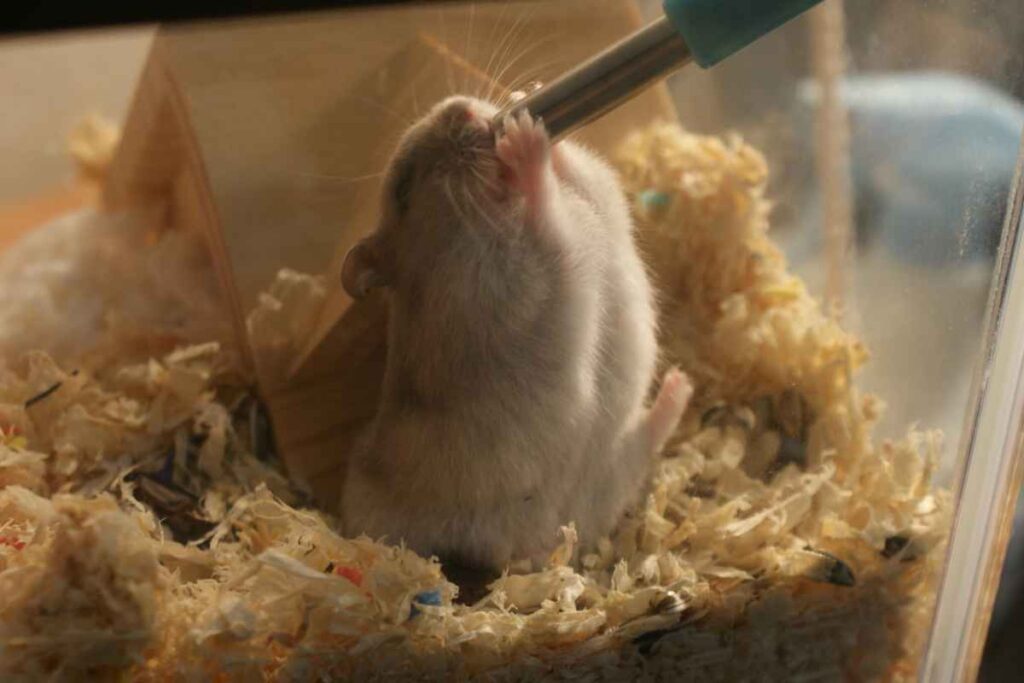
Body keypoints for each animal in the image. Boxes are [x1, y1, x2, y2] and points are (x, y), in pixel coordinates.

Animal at [339, 95, 692, 572]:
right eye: (403, 186)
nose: (460, 107)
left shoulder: (599, 196)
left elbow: (585, 176)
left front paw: (526, 115)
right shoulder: (519, 277)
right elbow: (548, 221)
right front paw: (525, 142)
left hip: (611, 467)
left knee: (642, 444)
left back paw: (679, 386)